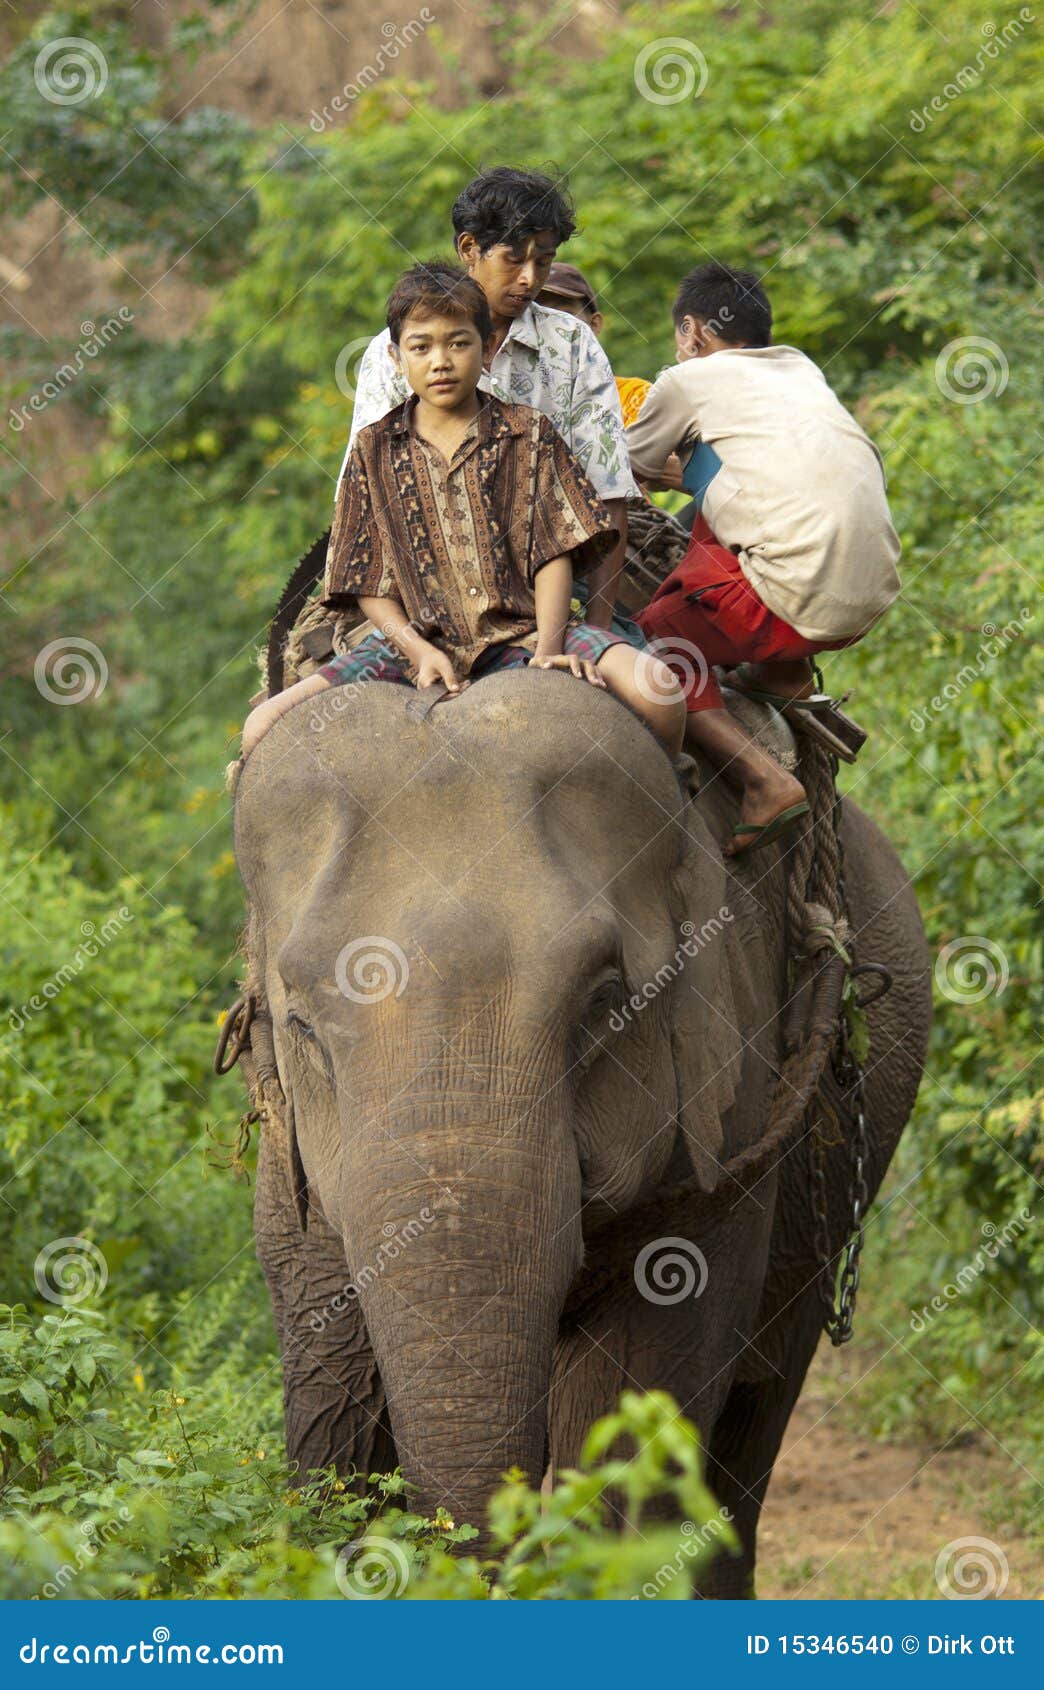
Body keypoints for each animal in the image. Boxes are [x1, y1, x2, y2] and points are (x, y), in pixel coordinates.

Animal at [231, 666, 931, 1598]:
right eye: (301, 1027)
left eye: (605, 1002)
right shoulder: (294, 1175)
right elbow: (331, 1398)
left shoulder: (729, 1113)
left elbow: (636, 1407)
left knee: (757, 1419)